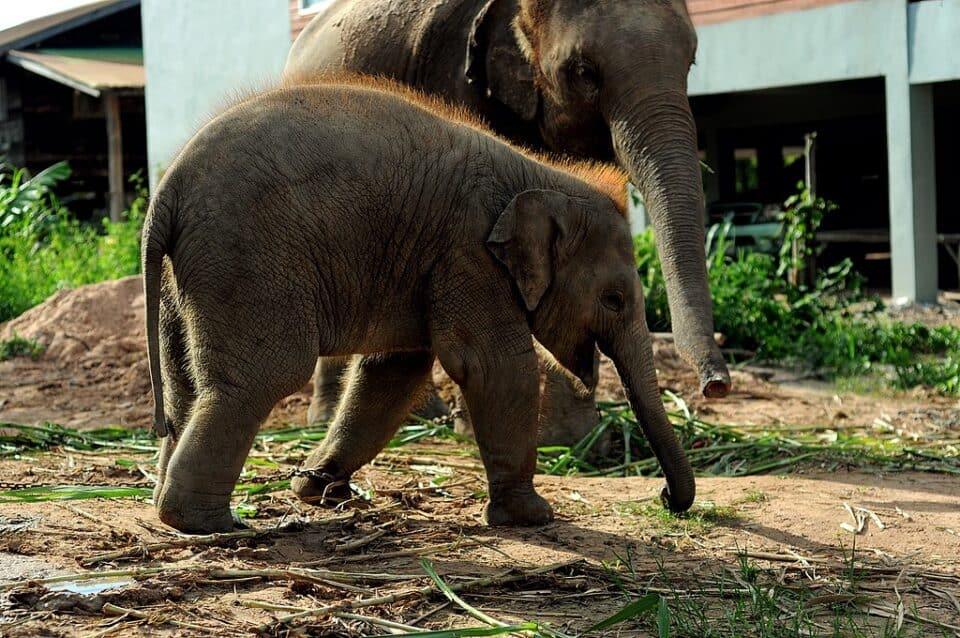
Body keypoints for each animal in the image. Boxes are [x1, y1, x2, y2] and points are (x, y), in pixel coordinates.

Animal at [142, 76, 696, 534]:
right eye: (614, 299)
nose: (665, 498)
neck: (539, 175)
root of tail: (167, 192)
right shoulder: (470, 254)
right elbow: (494, 367)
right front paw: (533, 517)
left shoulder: (432, 264)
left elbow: (394, 371)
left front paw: (319, 490)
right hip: (247, 263)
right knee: (259, 378)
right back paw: (208, 524)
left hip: (188, 278)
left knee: (185, 383)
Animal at [284, 0, 732, 445]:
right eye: (584, 71)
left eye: (691, 62)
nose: (716, 386)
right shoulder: (455, 77)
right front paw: (482, 431)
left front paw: (571, 442)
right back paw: (364, 420)